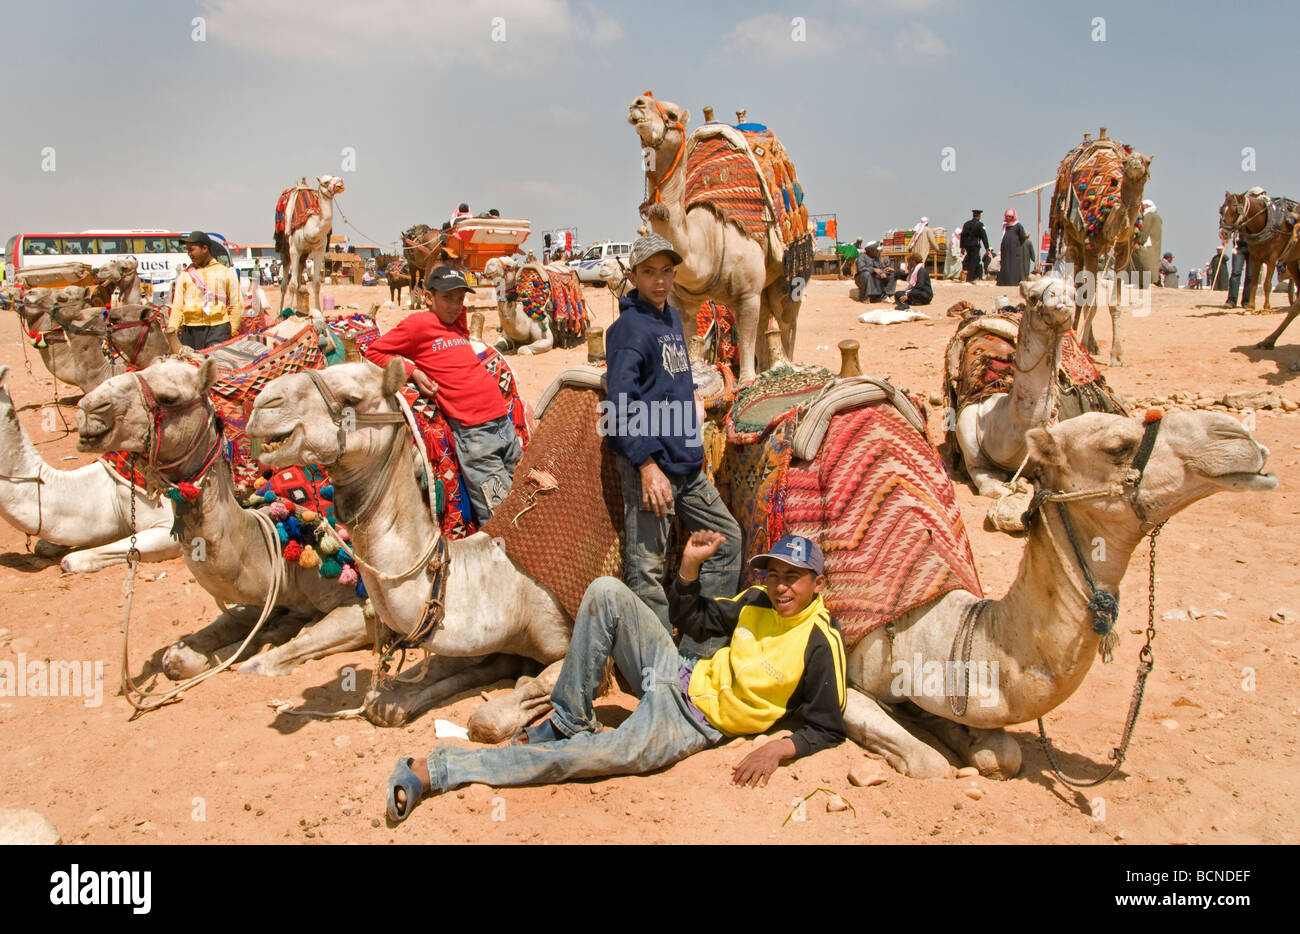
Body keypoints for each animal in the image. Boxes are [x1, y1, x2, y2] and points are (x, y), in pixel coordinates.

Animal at [76, 358, 370, 679]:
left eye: (169, 397)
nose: (89, 408)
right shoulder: (266, 595)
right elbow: (178, 657)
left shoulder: (362, 605)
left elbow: (264, 659)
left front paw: (269, 639)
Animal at [276, 176, 345, 316]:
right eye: (325, 182)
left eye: (338, 178)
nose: (341, 185)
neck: (311, 226)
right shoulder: (294, 250)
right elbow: (292, 284)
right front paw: (288, 312)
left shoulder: (319, 250)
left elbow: (316, 284)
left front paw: (318, 311)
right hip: (285, 250)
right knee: (285, 283)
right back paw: (281, 312)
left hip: (304, 255)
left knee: (299, 278)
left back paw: (298, 309)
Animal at [628, 93, 802, 380]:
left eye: (672, 114)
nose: (638, 103)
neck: (707, 242)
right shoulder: (682, 301)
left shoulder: (747, 293)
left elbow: (747, 347)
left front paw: (747, 379)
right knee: (765, 320)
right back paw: (769, 367)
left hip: (786, 274)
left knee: (787, 318)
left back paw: (788, 363)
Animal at [1048, 130, 1152, 367]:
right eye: (1126, 162)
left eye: (1147, 161)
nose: (1135, 163)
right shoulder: (1091, 248)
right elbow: (1091, 301)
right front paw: (1084, 346)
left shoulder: (1123, 252)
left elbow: (1115, 305)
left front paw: (1117, 356)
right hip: (1074, 242)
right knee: (1079, 288)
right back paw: (1077, 336)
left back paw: (1093, 344)